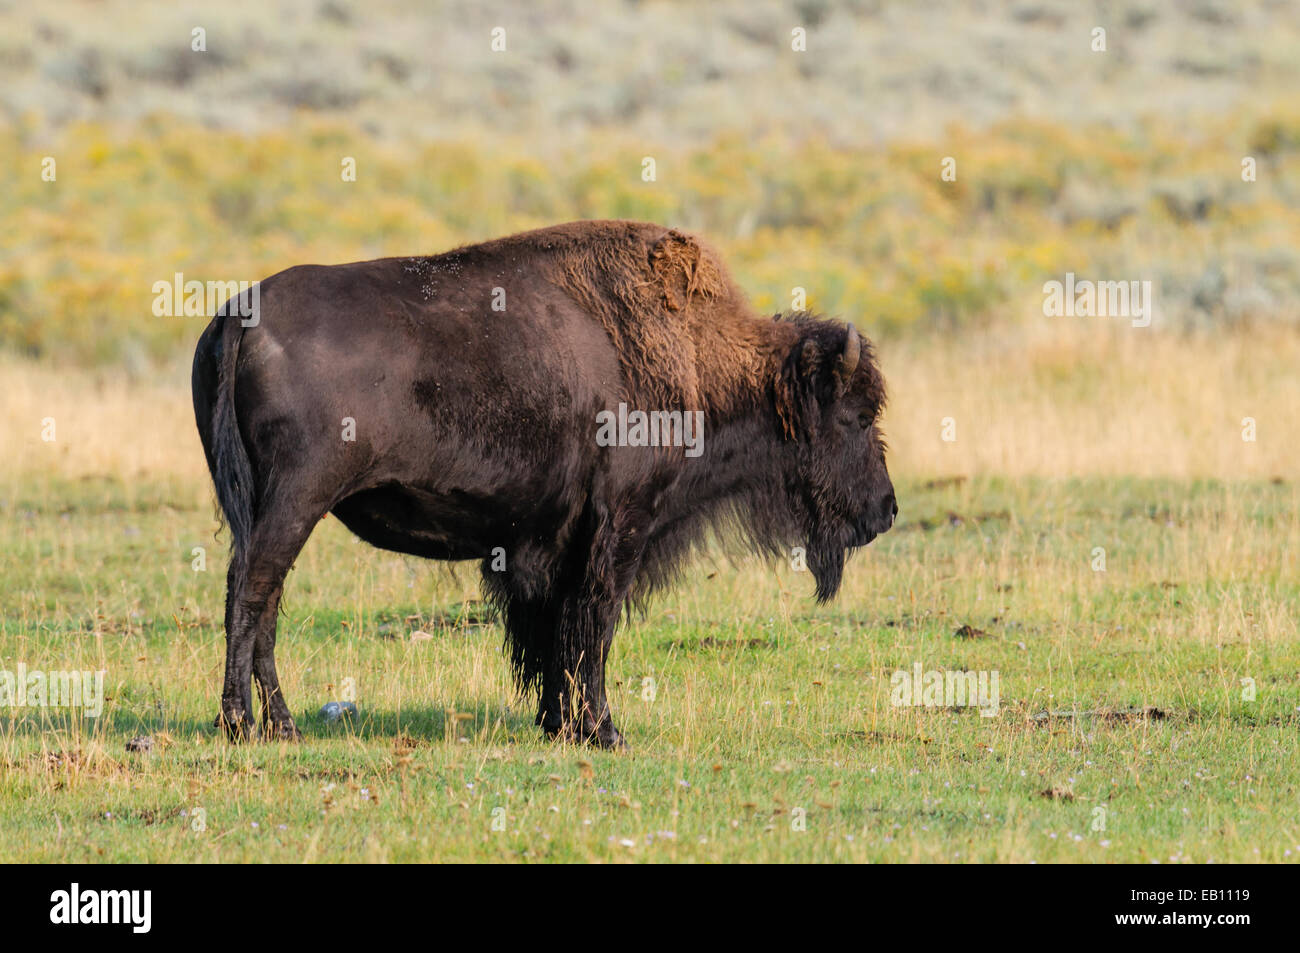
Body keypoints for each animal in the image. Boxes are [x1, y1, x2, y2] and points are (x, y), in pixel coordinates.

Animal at [192, 220, 896, 749]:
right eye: (857, 416)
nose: (885, 511)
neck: (700, 358)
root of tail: (239, 317)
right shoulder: (620, 523)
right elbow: (593, 622)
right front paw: (604, 731)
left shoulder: (552, 541)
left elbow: (553, 628)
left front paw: (559, 723)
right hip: (296, 501)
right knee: (252, 592)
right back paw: (248, 724)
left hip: (270, 507)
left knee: (261, 597)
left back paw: (276, 724)